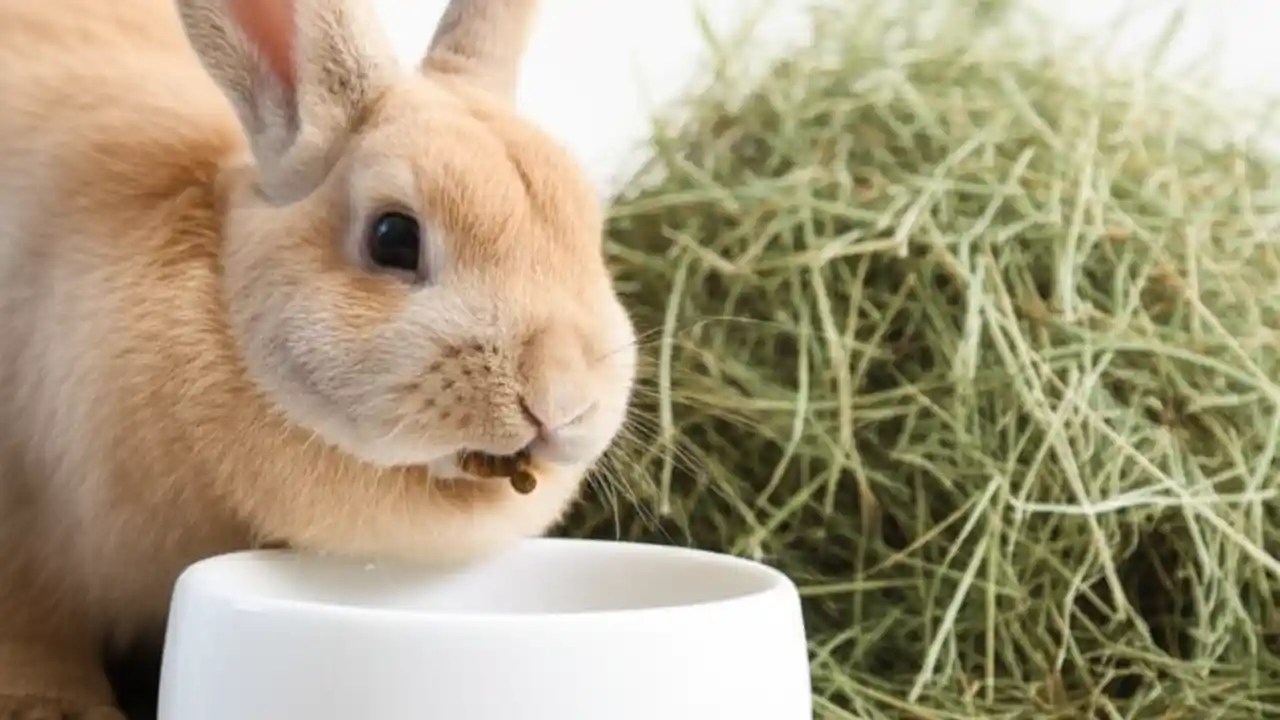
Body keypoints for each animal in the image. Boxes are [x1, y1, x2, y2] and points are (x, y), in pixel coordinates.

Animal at [0, 0, 638, 715]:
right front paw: (53, 707)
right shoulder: (21, 537)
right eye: (393, 238)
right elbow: (32, 640)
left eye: (589, 235)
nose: (562, 400)